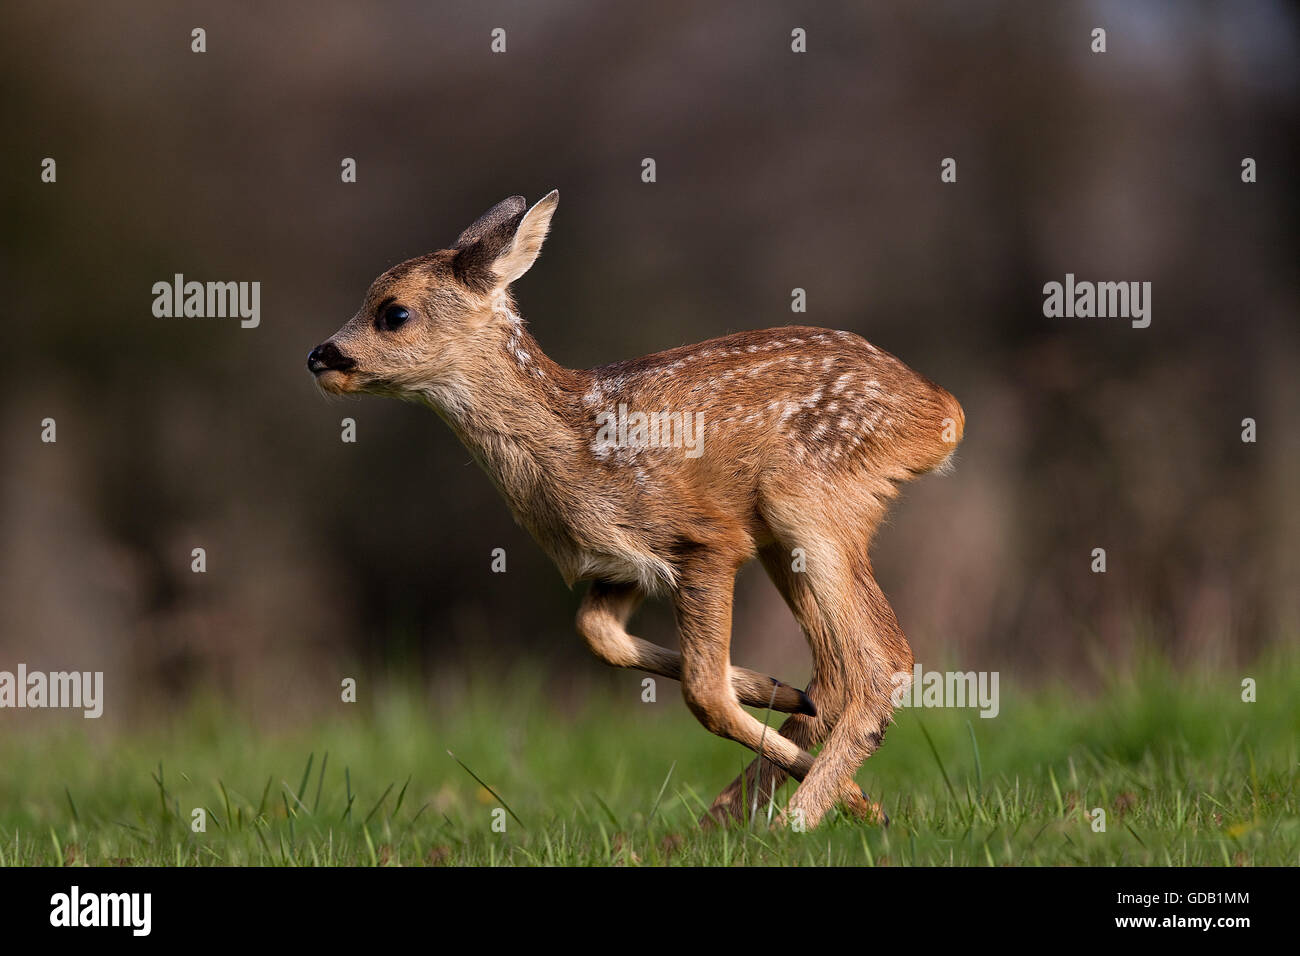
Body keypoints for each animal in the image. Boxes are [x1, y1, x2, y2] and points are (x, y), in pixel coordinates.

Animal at [307, 191, 965, 829]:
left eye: (394, 312)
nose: (319, 356)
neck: (577, 447)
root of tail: (941, 410)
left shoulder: (706, 539)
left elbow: (705, 693)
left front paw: (855, 802)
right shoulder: (621, 563)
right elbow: (598, 634)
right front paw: (770, 692)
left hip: (807, 496)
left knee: (882, 661)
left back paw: (801, 820)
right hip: (788, 536)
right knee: (830, 675)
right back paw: (730, 815)